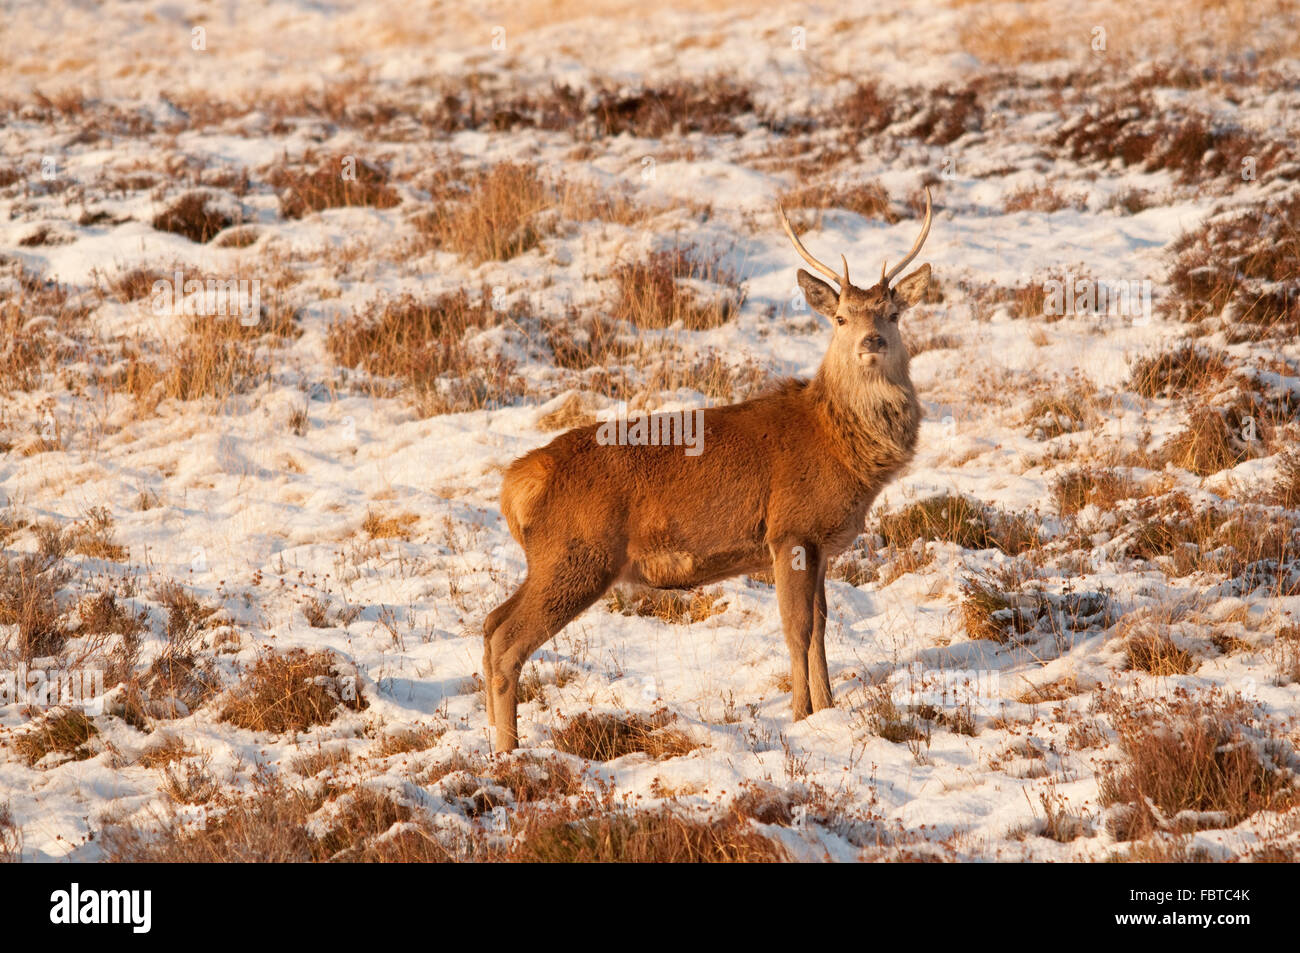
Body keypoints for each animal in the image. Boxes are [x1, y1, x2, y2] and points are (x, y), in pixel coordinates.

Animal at [482, 190, 933, 751]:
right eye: (841, 319)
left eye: (892, 313)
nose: (872, 341)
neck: (838, 442)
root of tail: (517, 483)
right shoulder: (789, 528)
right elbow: (798, 629)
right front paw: (801, 715)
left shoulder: (818, 543)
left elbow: (822, 627)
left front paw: (827, 708)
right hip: (577, 553)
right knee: (506, 639)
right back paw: (509, 751)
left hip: (551, 558)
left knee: (489, 622)